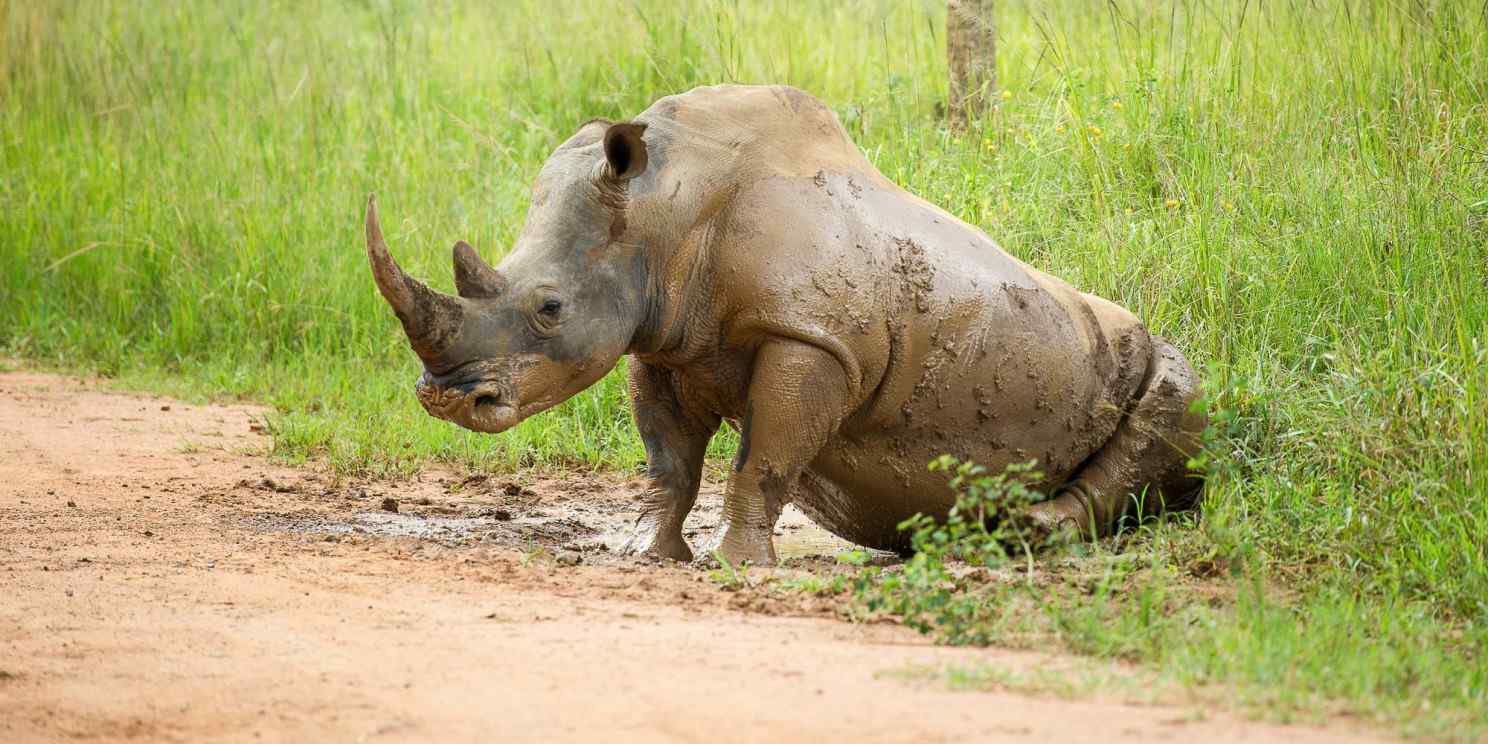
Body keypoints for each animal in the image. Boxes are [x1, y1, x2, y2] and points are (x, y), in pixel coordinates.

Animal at [364, 84, 1206, 565]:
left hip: (1150, 359)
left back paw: (1029, 534)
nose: (444, 399)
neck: (663, 211)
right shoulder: (661, 343)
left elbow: (763, 457)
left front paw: (738, 565)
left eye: (549, 308)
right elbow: (671, 463)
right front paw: (646, 554)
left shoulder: (812, 340)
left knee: (1176, 394)